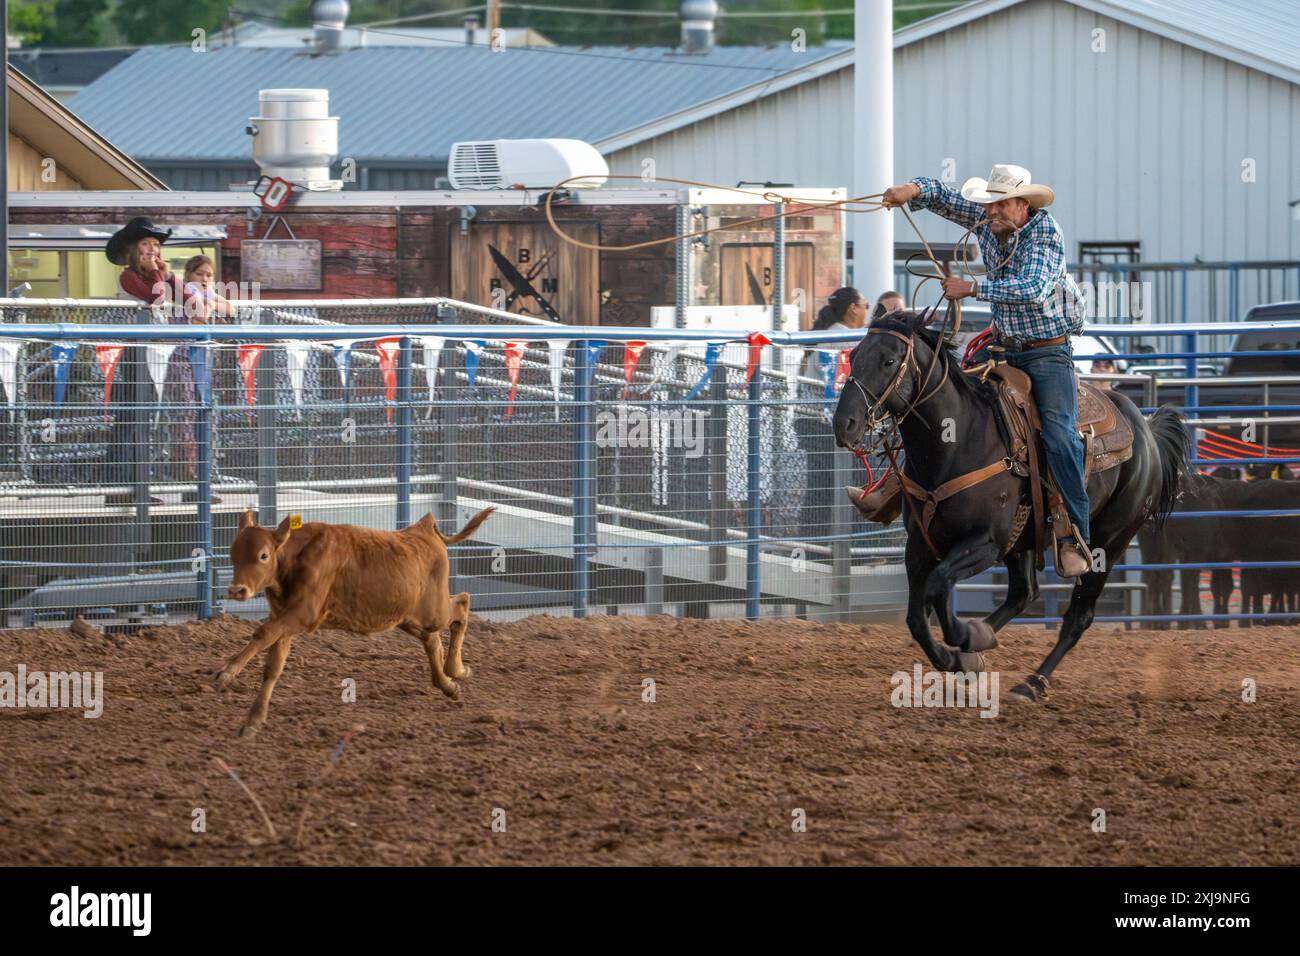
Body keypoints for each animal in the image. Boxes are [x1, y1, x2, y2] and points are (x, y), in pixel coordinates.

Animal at [215, 506, 495, 736]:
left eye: (263, 555)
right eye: (233, 553)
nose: (237, 591)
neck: (296, 558)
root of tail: (425, 530)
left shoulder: (303, 614)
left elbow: (263, 633)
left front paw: (226, 672)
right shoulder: (284, 619)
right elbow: (273, 667)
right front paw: (253, 720)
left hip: (434, 611)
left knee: (462, 605)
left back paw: (456, 669)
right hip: (407, 618)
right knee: (432, 641)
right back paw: (449, 684)